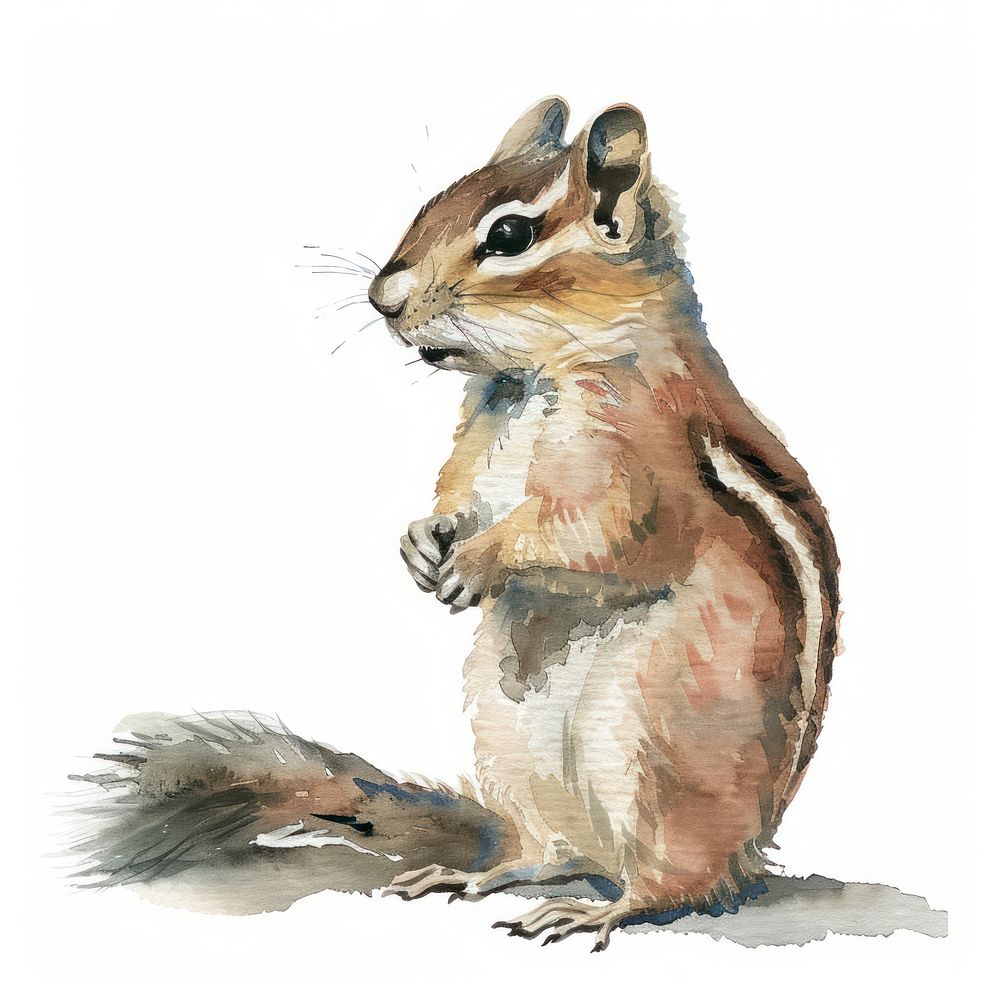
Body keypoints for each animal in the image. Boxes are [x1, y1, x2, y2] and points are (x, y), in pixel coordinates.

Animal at [74, 97, 839, 951]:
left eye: (507, 236)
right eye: (432, 201)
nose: (383, 298)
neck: (530, 377)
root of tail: (753, 850)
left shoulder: (638, 460)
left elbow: (598, 534)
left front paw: (481, 560)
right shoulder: (473, 451)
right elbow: (457, 502)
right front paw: (419, 543)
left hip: (652, 759)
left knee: (678, 884)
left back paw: (598, 908)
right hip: (509, 742)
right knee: (547, 852)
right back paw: (478, 873)